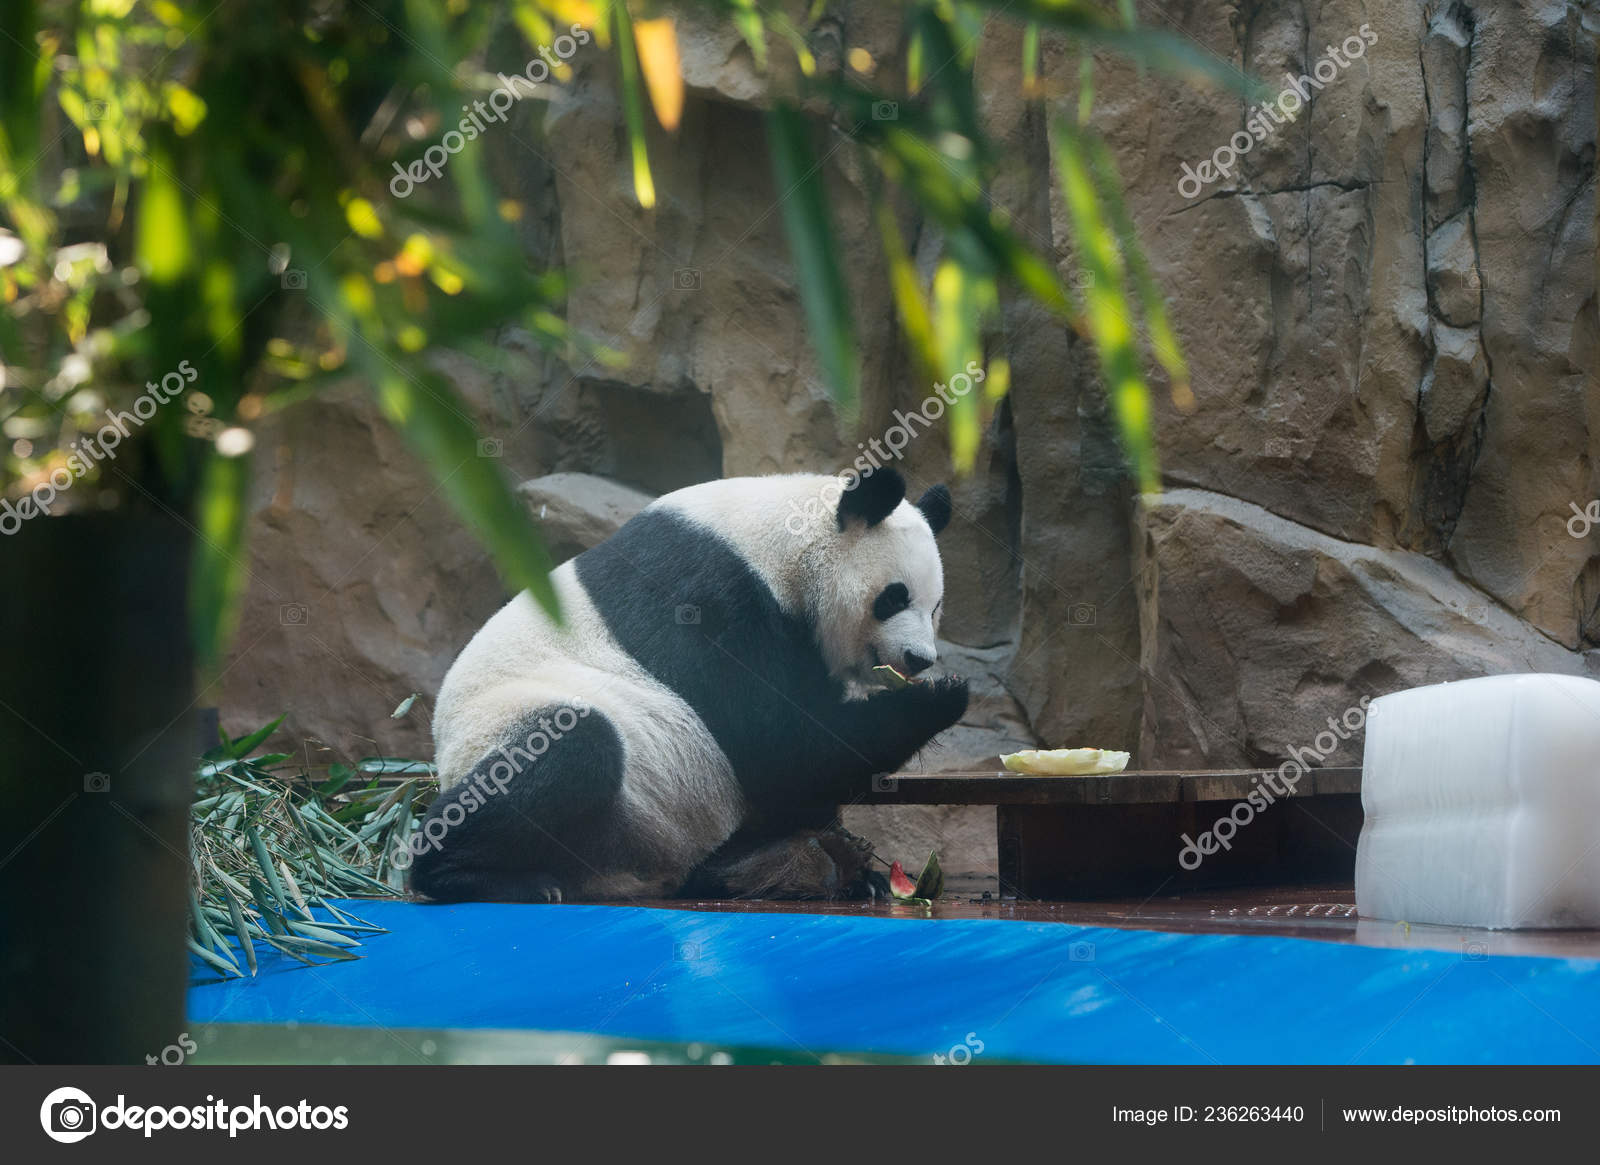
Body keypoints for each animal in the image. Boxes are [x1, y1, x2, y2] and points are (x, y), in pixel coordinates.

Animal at [407, 466, 968, 903]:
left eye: (936, 605)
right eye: (894, 597)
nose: (919, 659)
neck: (781, 540)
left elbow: (810, 762)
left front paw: (861, 869)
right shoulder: (709, 596)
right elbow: (778, 747)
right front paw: (943, 696)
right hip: (506, 728)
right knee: (575, 750)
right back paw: (488, 879)